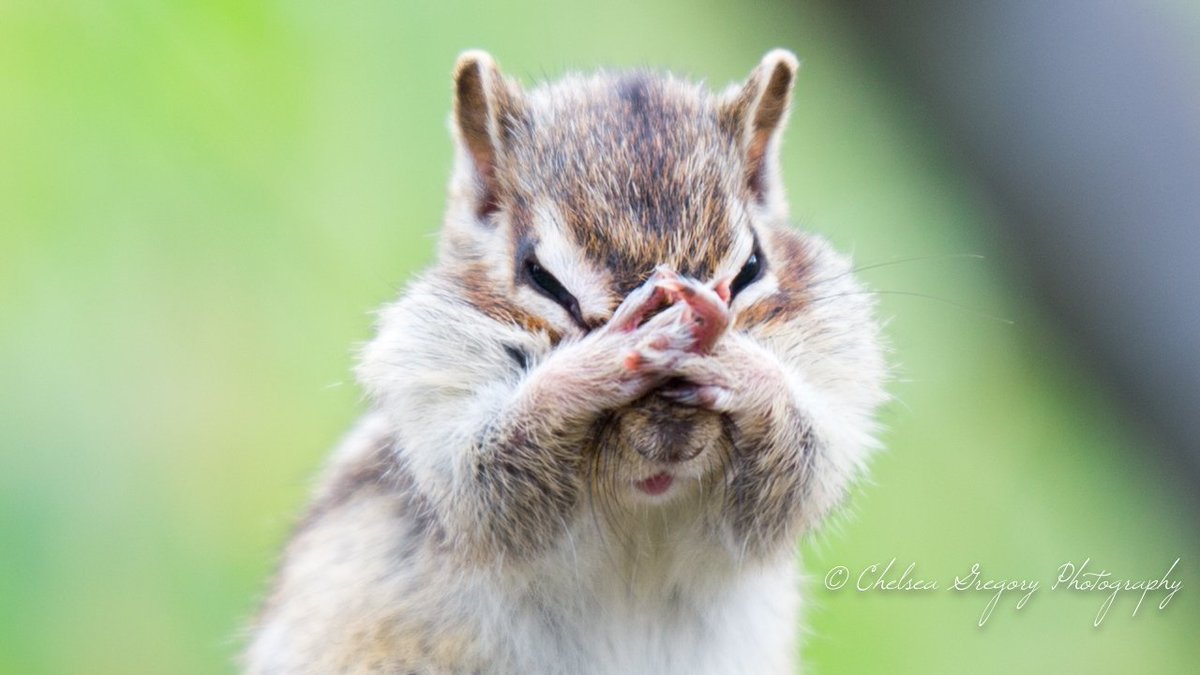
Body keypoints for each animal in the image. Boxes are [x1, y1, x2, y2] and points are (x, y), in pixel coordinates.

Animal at [244, 49, 887, 675]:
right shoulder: (439, 405)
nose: (669, 444)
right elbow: (495, 476)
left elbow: (795, 472)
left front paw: (734, 365)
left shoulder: (831, 391)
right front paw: (600, 364)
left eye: (752, 267)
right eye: (541, 277)